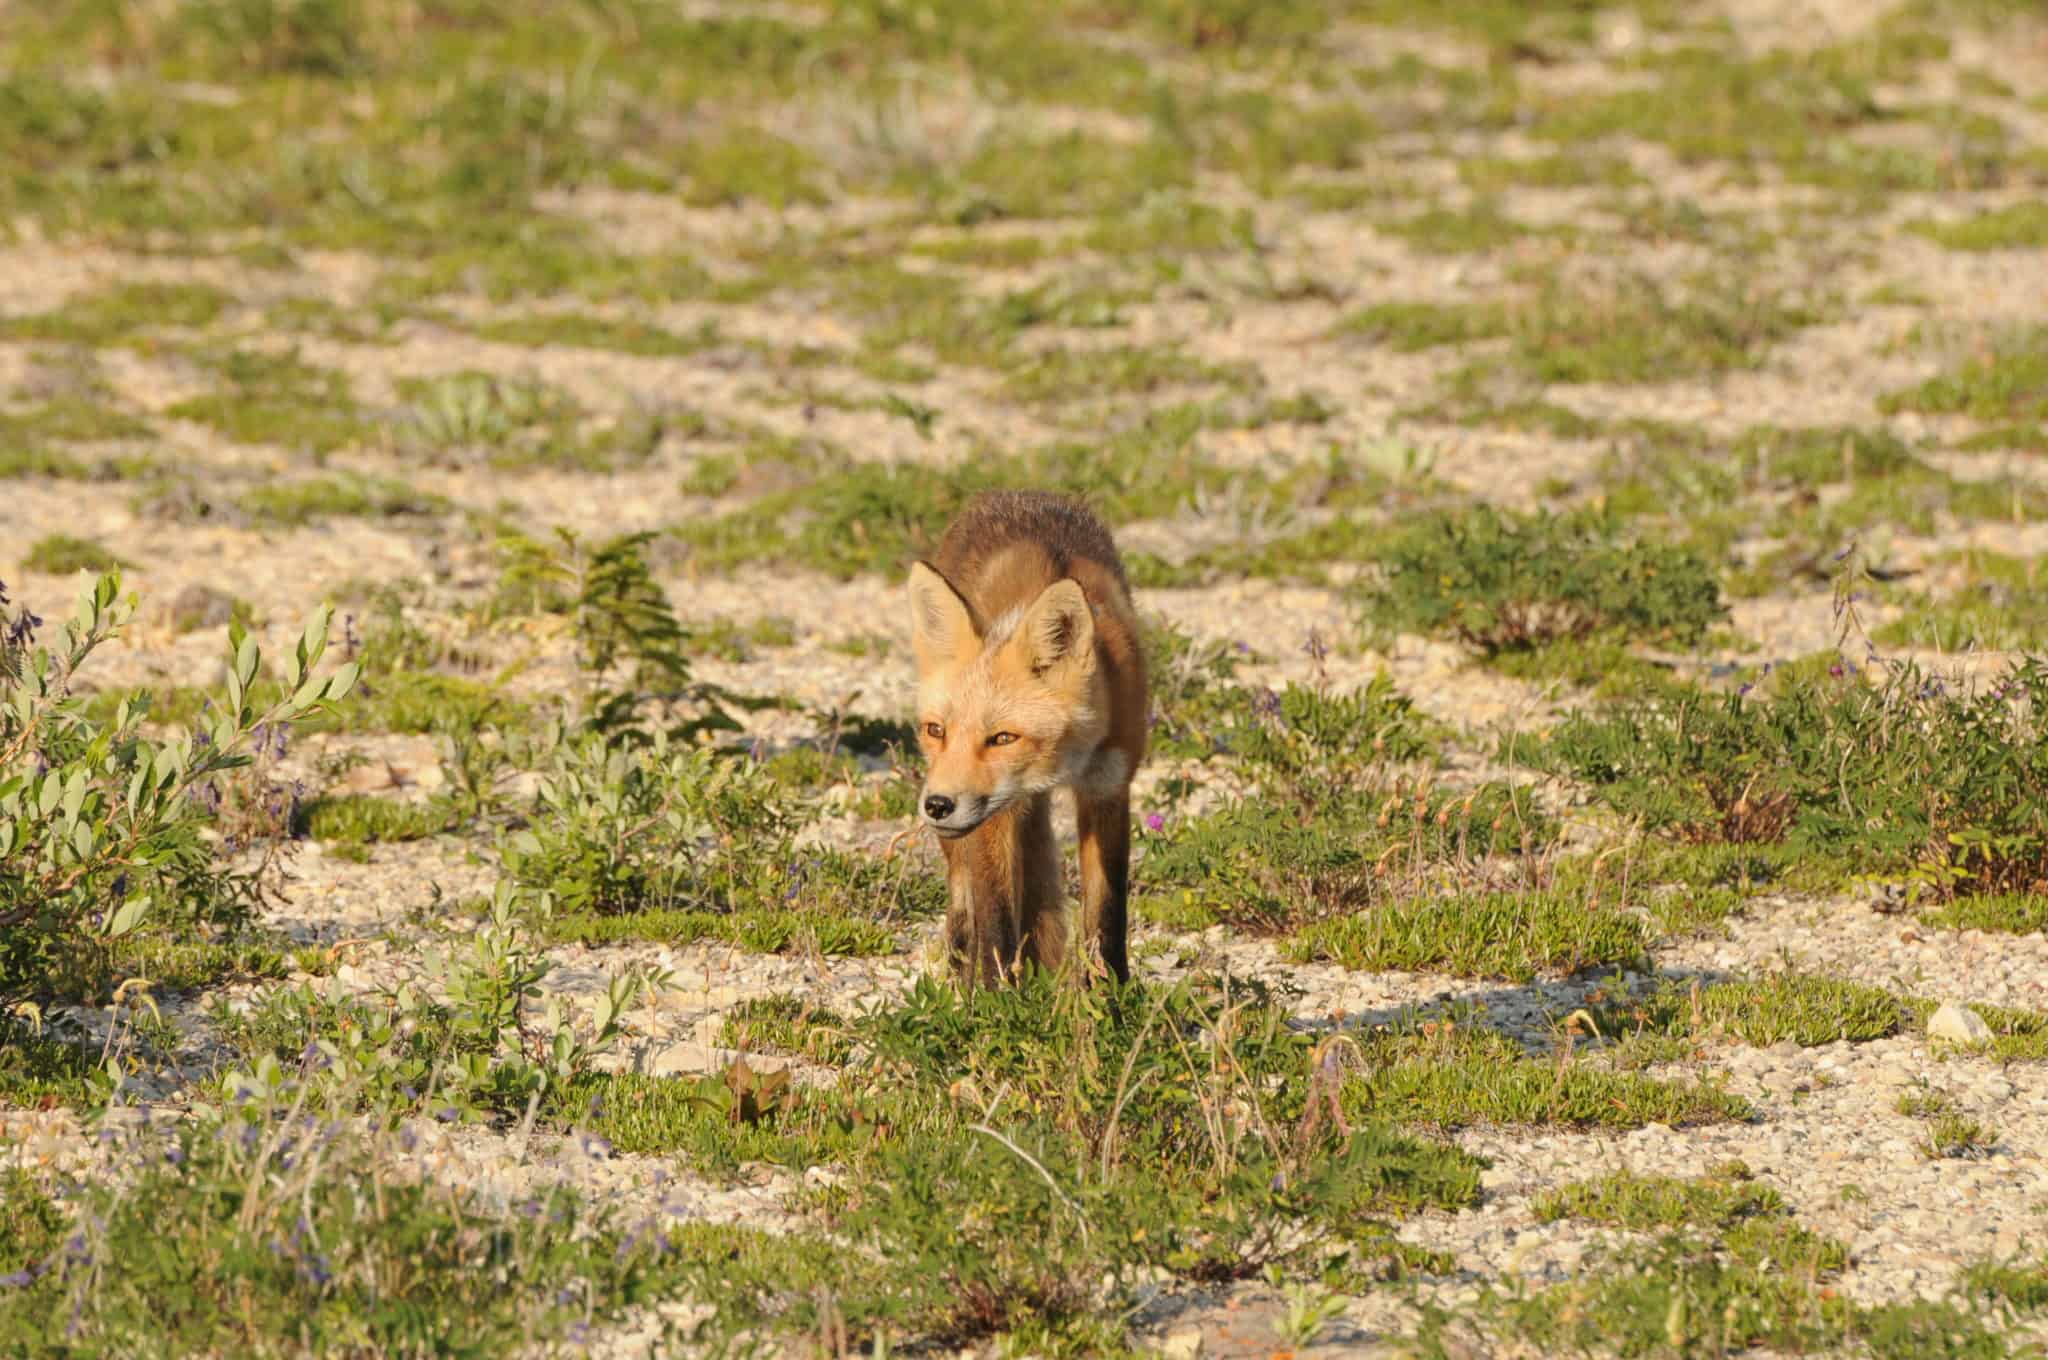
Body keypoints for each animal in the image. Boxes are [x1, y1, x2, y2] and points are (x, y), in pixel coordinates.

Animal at [906, 491, 1148, 987]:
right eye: (937, 730)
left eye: (1002, 737)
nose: (937, 805)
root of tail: (1008, 494)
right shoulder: (994, 813)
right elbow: (996, 918)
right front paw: (997, 997)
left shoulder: (1109, 787)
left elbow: (1107, 916)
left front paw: (1112, 996)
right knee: (964, 906)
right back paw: (963, 976)